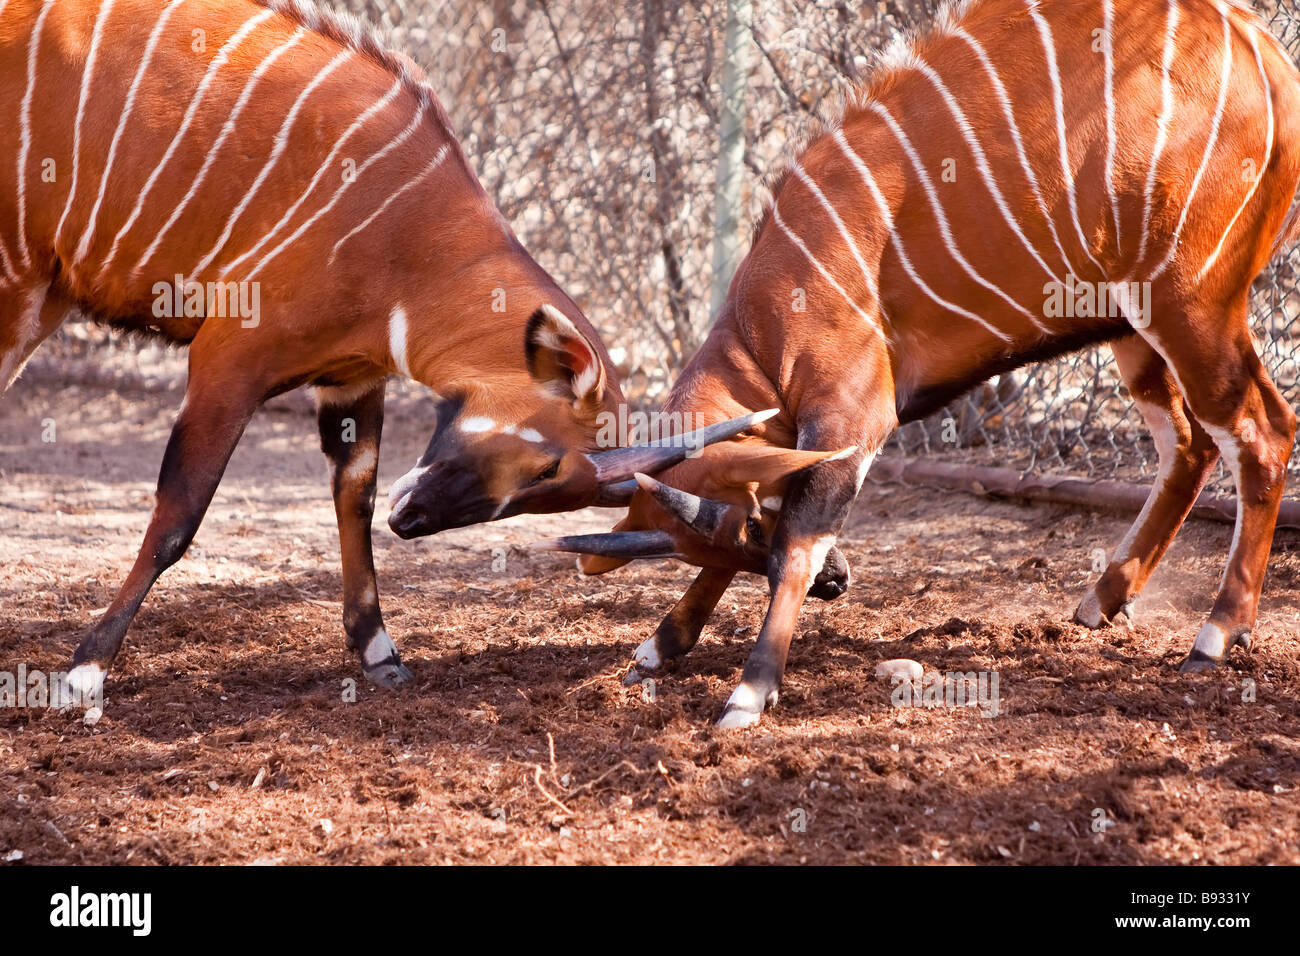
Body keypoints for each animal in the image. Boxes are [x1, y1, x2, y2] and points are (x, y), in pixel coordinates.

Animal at [0, 0, 753, 702]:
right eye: (546, 466)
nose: (411, 520)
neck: (401, 231)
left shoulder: (352, 378)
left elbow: (353, 497)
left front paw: (381, 654)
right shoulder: (226, 363)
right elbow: (178, 516)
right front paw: (84, 672)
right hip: (21, 285)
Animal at [543, 0, 1300, 728]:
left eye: (753, 526)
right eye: (734, 537)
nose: (839, 584)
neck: (762, 329)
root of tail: (1268, 59)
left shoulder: (854, 419)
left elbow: (798, 544)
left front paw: (748, 694)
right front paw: (660, 644)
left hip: (1189, 299)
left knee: (1261, 430)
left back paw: (1214, 636)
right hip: (1134, 323)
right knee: (1191, 443)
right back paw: (1102, 599)